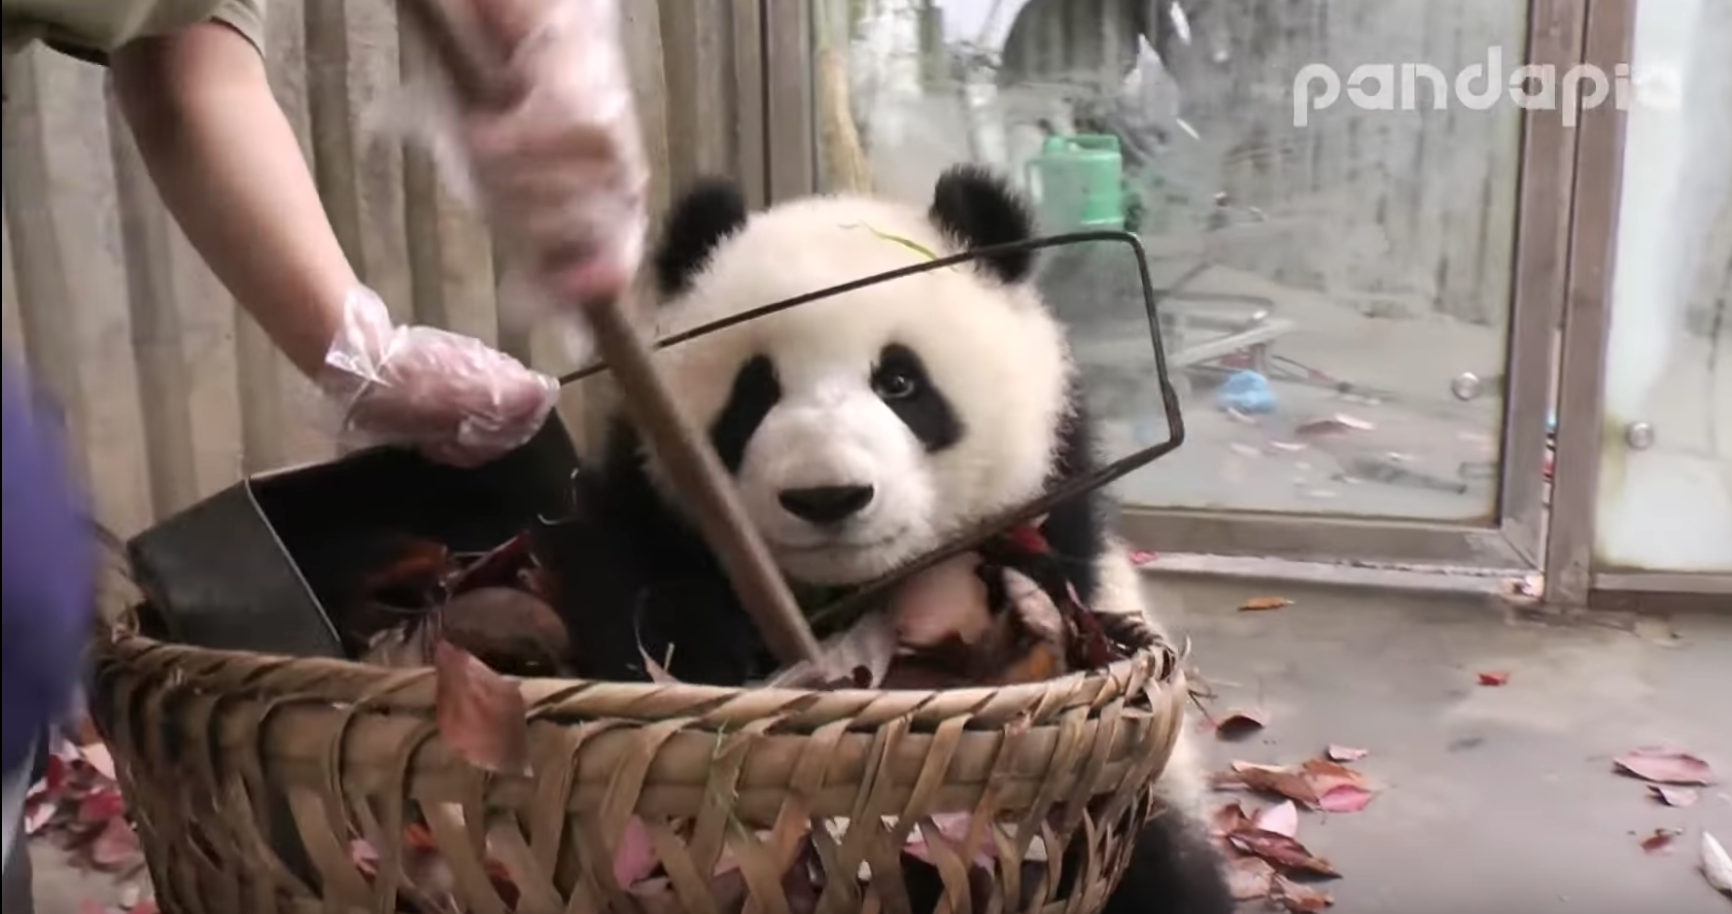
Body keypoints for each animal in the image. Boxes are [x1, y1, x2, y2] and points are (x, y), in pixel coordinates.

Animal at [574, 164, 1234, 914]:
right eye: (754, 393)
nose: (826, 496)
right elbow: (630, 601)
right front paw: (713, 646)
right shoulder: (648, 494)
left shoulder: (1054, 507)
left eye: (900, 382)